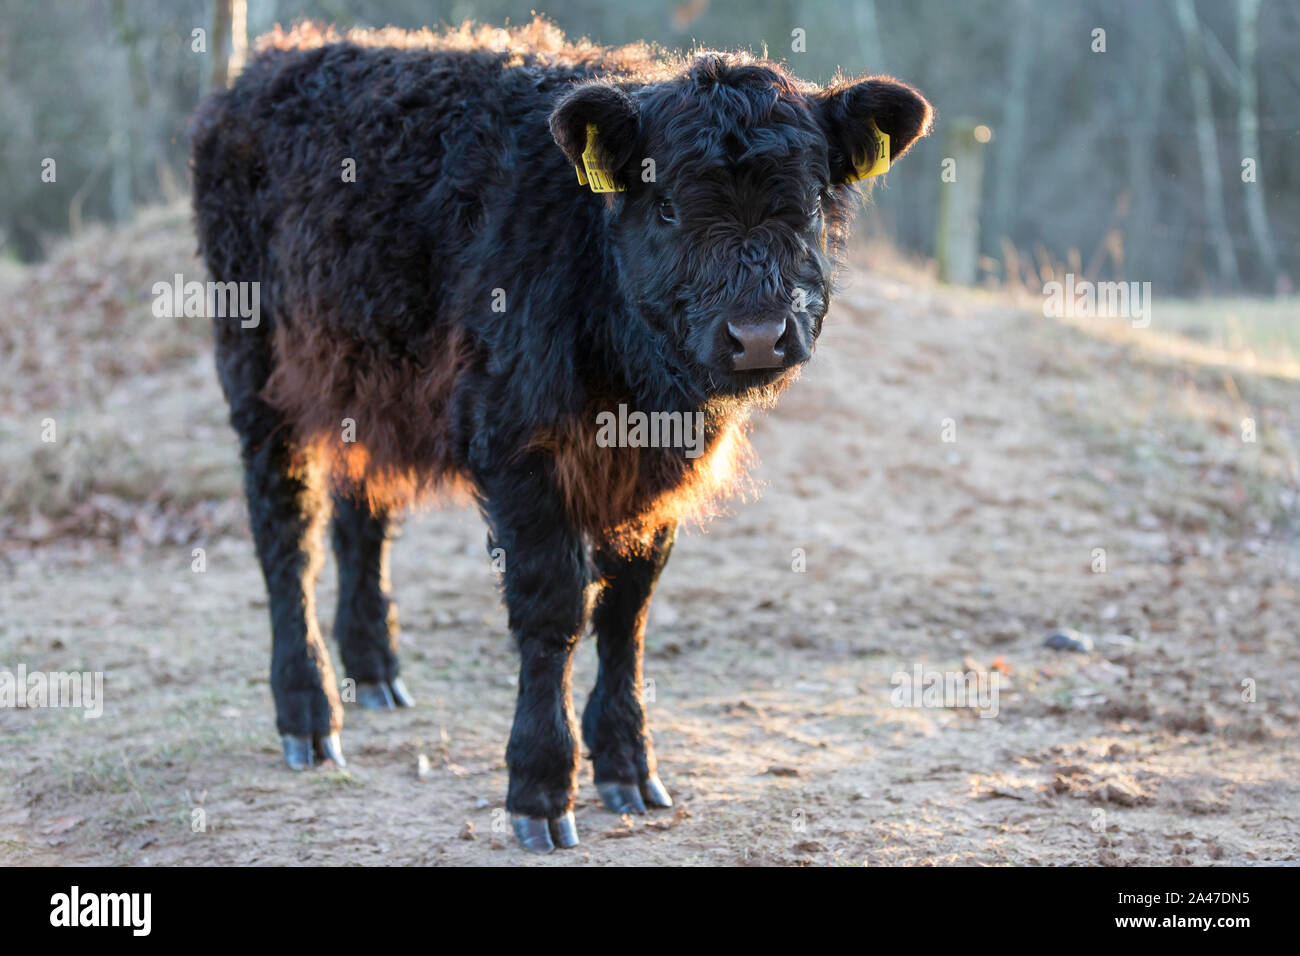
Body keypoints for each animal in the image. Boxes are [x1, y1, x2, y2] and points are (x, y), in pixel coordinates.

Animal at [189, 19, 932, 852]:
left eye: (804, 206)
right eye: (666, 205)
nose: (757, 335)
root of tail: (280, 57)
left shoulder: (653, 470)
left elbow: (626, 609)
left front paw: (627, 764)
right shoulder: (518, 443)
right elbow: (553, 609)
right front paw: (541, 786)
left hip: (363, 380)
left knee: (361, 511)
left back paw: (375, 668)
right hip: (256, 367)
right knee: (285, 531)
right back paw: (308, 712)